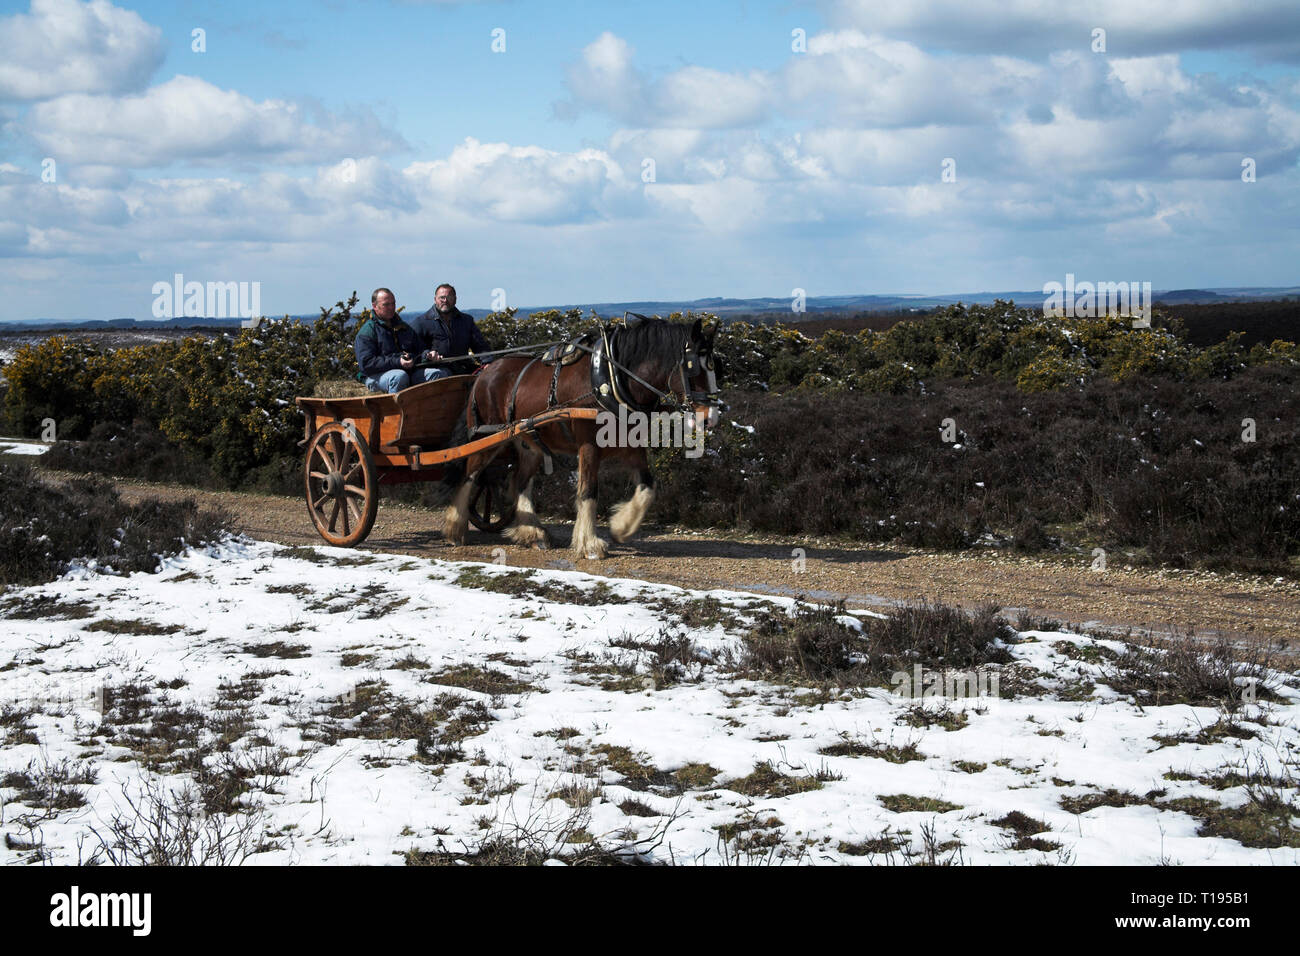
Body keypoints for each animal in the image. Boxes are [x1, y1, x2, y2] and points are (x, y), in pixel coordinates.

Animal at [442, 317, 721, 559]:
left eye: (714, 366)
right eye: (693, 368)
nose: (712, 417)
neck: (611, 379)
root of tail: (484, 373)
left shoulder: (631, 444)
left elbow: (647, 487)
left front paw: (621, 527)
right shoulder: (588, 445)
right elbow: (588, 490)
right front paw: (590, 544)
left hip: (528, 442)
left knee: (519, 482)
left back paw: (533, 534)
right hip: (487, 437)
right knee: (470, 475)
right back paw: (454, 529)